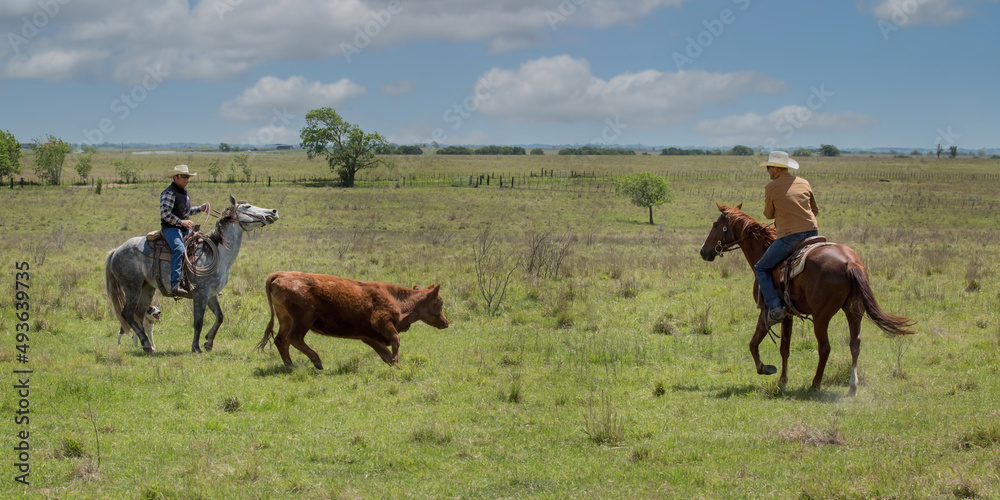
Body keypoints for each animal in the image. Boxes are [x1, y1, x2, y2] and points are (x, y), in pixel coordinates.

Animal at [106, 195, 278, 353]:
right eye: (248, 206)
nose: (273, 211)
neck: (215, 254)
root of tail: (117, 250)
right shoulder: (200, 293)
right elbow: (198, 322)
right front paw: (196, 347)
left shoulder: (211, 294)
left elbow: (220, 316)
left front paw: (208, 342)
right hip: (132, 287)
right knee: (127, 313)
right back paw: (146, 343)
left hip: (147, 288)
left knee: (139, 313)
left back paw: (146, 344)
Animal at [255, 272, 449, 369]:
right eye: (439, 302)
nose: (446, 323)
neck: (396, 298)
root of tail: (281, 275)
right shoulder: (383, 323)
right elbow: (396, 341)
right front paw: (396, 363)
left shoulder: (368, 336)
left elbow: (384, 352)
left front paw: (393, 364)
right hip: (303, 320)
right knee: (293, 338)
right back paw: (317, 361)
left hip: (286, 319)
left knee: (281, 340)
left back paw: (290, 366)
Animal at [698, 203, 915, 396]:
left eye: (715, 225)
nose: (703, 251)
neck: (762, 250)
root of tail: (850, 263)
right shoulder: (788, 315)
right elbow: (785, 347)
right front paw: (783, 379)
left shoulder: (768, 310)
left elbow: (754, 343)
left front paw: (766, 369)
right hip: (854, 311)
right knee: (855, 344)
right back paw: (852, 387)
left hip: (821, 316)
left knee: (825, 348)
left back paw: (815, 384)